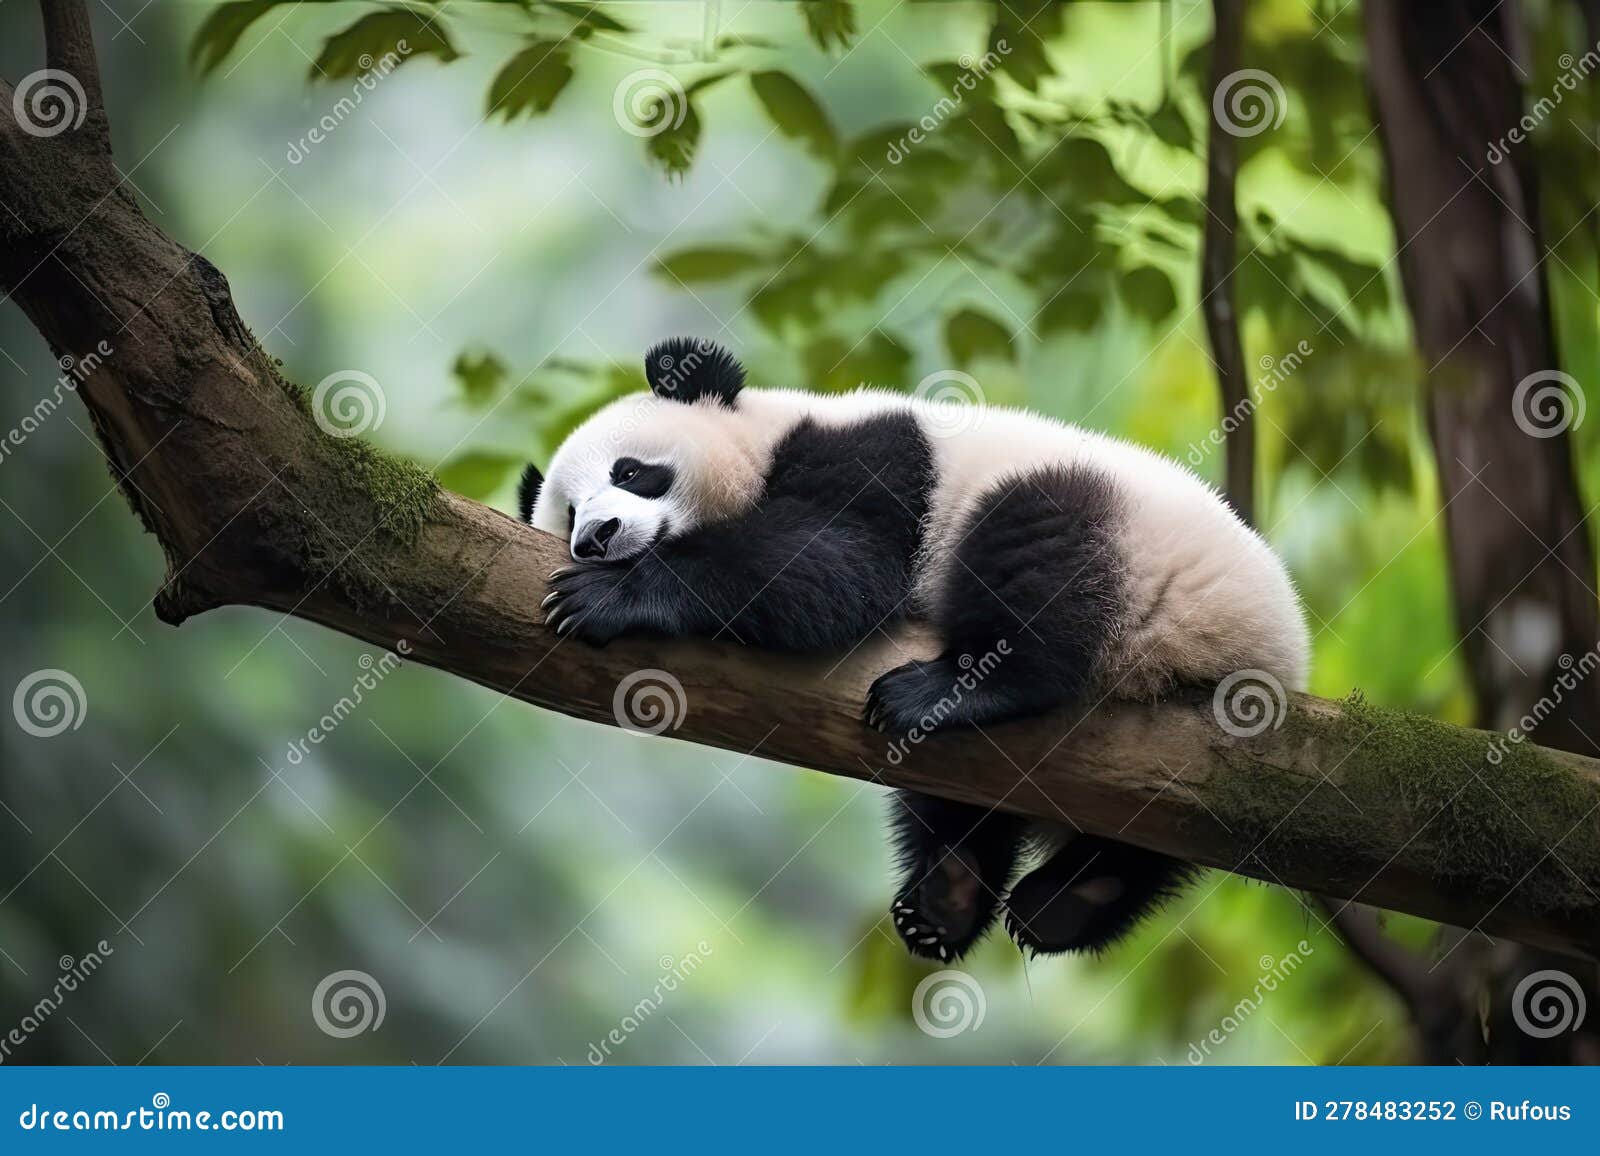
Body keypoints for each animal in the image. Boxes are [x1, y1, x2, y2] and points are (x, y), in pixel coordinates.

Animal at [520, 337, 1309, 962]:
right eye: (568, 514)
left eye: (630, 471)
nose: (596, 538)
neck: (771, 434)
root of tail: (1279, 643)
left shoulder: (879, 457)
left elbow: (834, 561)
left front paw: (613, 596)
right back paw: (1000, 897)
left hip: (1136, 558)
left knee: (1035, 551)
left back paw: (955, 699)